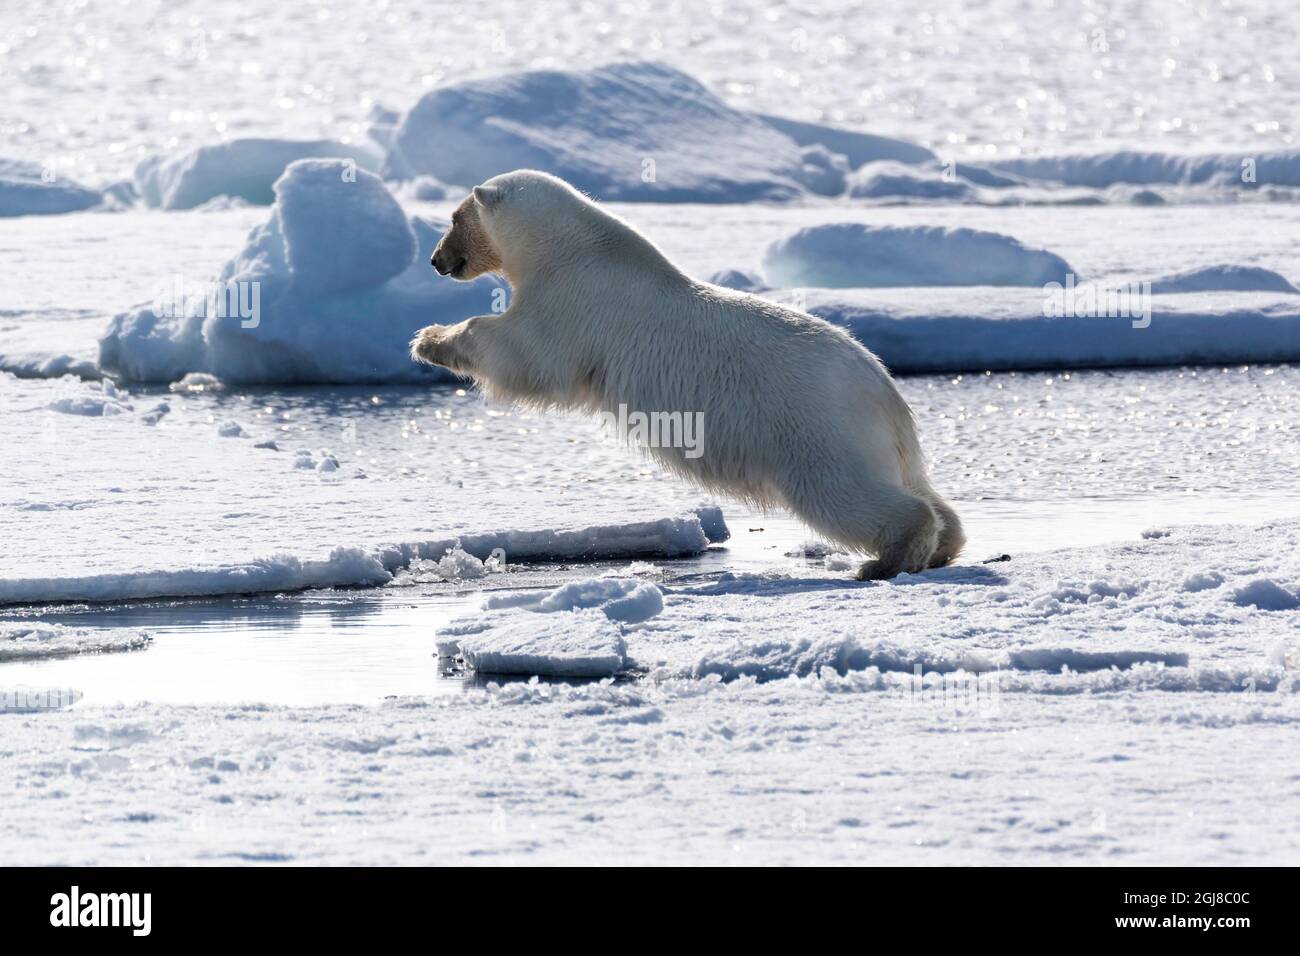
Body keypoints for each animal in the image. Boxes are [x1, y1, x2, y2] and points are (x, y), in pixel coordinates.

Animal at [411, 170, 964, 578]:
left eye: (454, 218)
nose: (436, 260)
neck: (570, 245)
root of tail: (884, 391)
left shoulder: (575, 301)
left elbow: (525, 353)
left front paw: (429, 339)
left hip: (815, 427)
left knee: (843, 493)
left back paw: (888, 558)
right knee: (915, 484)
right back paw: (946, 542)